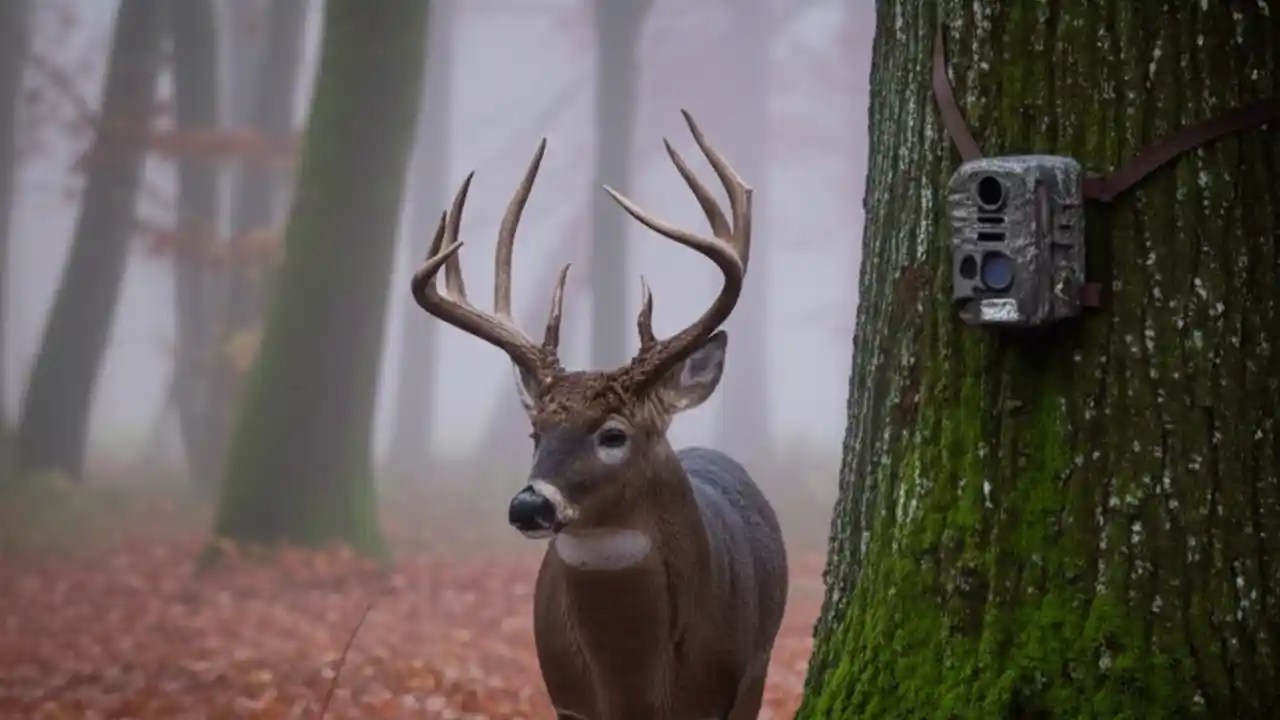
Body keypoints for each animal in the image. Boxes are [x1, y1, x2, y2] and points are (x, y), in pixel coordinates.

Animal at [410, 111, 787, 720]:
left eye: (613, 434)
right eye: (535, 432)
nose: (529, 504)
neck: (634, 687)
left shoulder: (723, 691)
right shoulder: (569, 700)